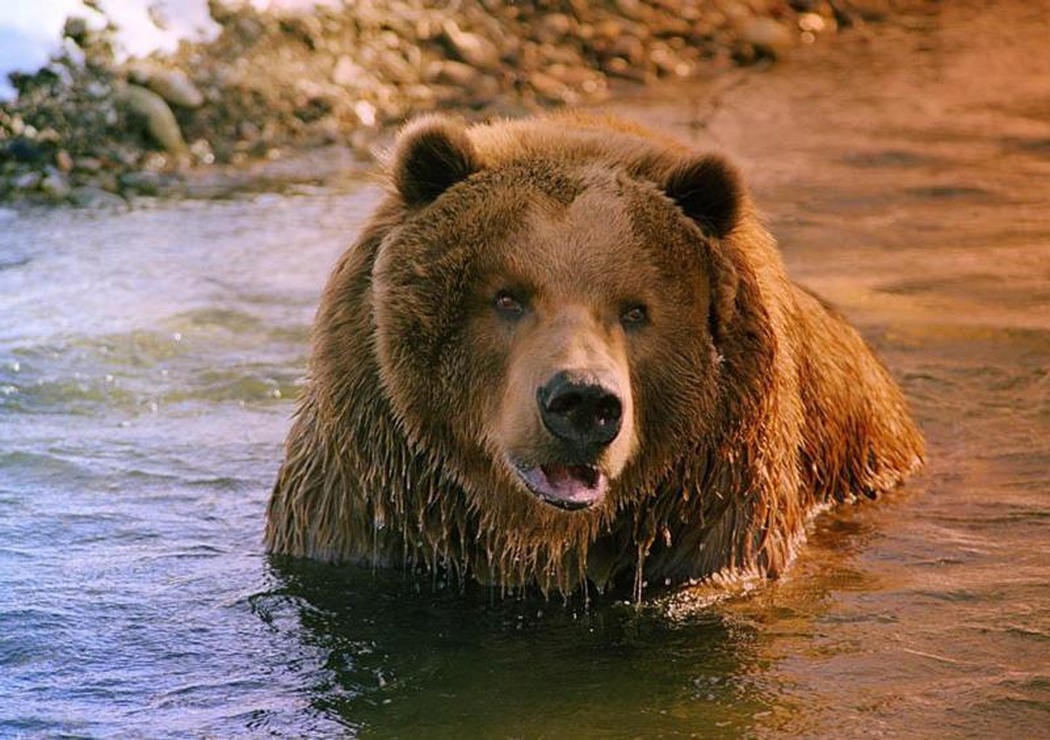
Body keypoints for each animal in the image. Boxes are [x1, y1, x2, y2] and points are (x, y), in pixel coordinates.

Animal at [266, 113, 924, 598]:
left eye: (635, 310)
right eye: (507, 296)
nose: (582, 401)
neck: (539, 543)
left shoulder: (715, 519)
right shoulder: (366, 515)